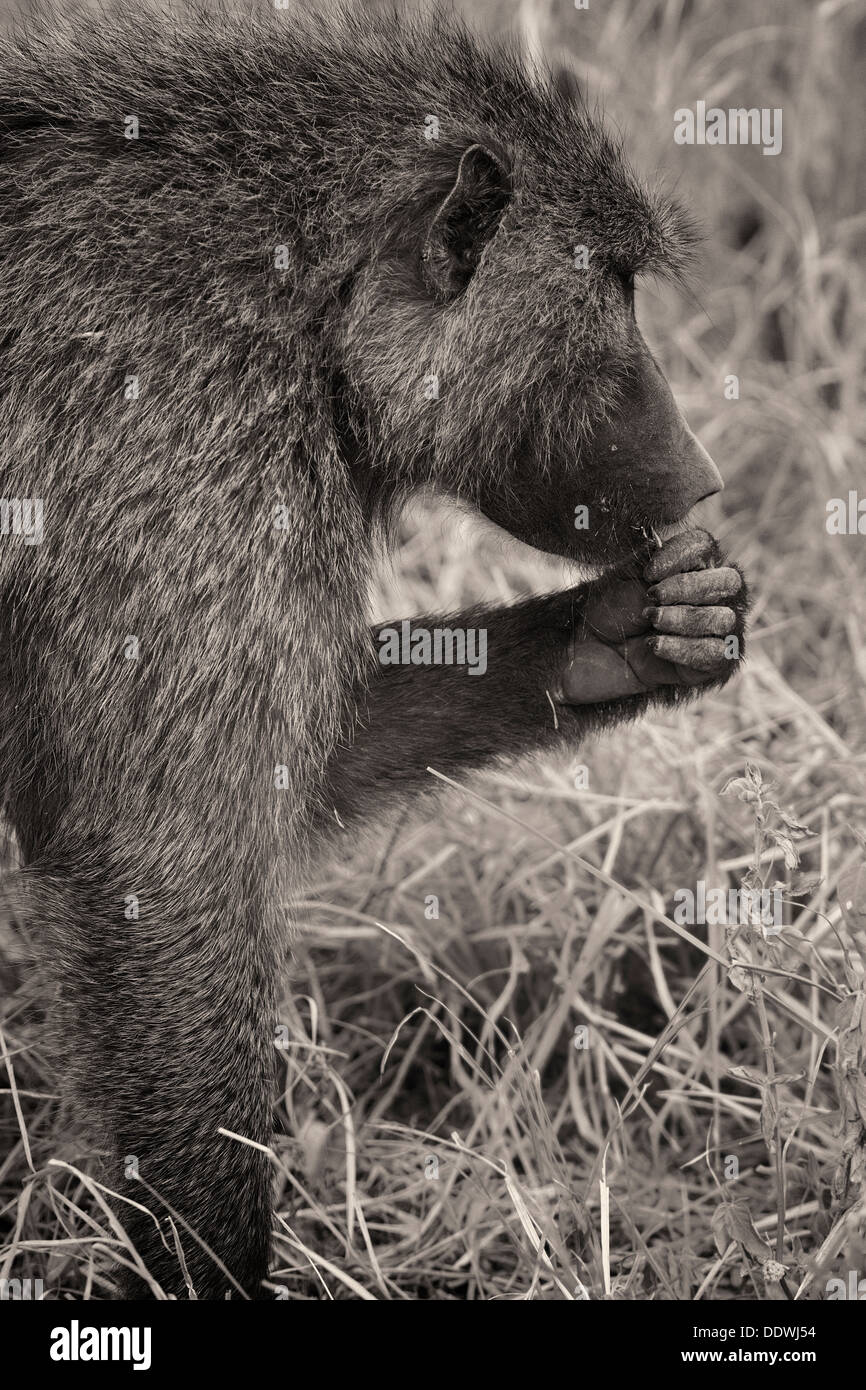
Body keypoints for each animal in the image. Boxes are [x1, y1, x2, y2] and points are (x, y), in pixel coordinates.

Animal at [0, 2, 748, 1299]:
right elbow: (168, 849)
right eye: (607, 292)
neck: (297, 300)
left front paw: (622, 634)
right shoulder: (190, 455)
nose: (700, 476)